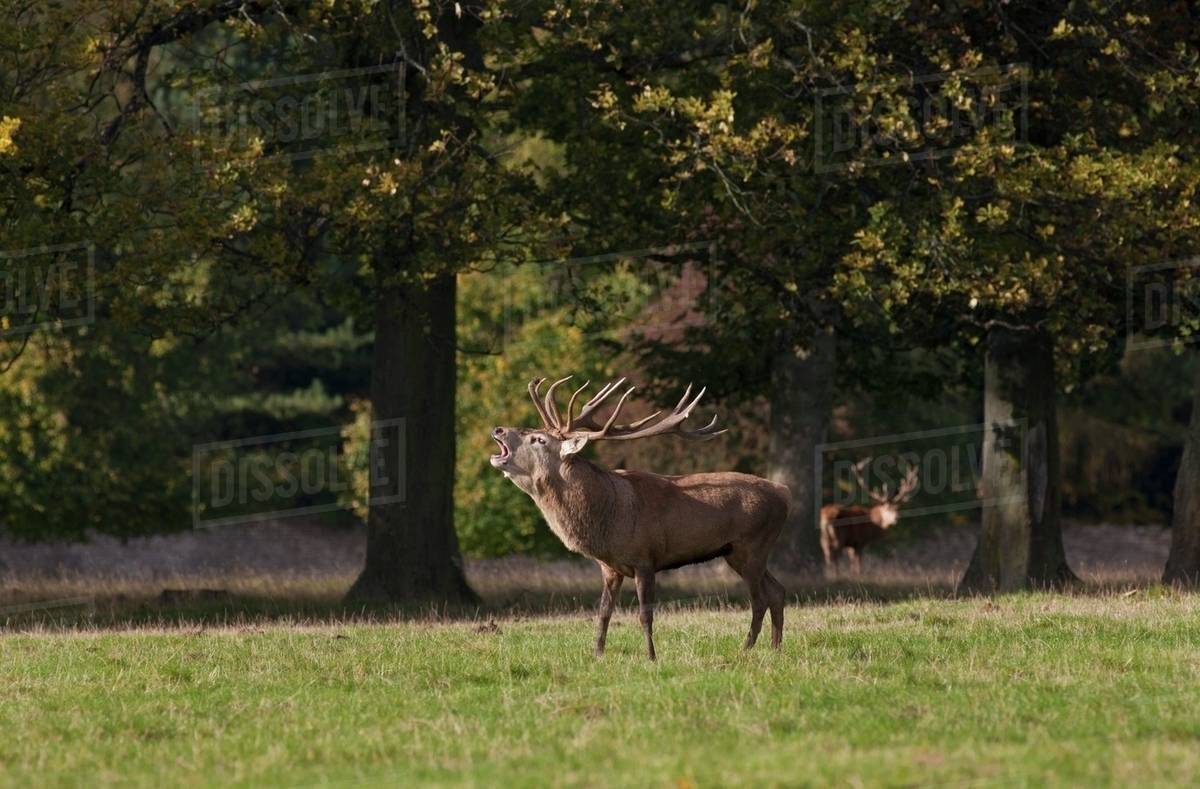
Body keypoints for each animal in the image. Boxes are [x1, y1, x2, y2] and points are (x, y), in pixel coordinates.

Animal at [490, 376, 790, 660]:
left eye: (539, 440)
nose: (498, 429)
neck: (607, 518)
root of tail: (784, 493)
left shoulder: (645, 558)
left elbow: (645, 614)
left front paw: (651, 656)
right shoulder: (609, 567)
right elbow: (603, 612)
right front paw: (596, 654)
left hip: (752, 545)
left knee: (760, 599)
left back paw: (746, 649)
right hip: (738, 553)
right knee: (777, 591)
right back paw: (775, 649)